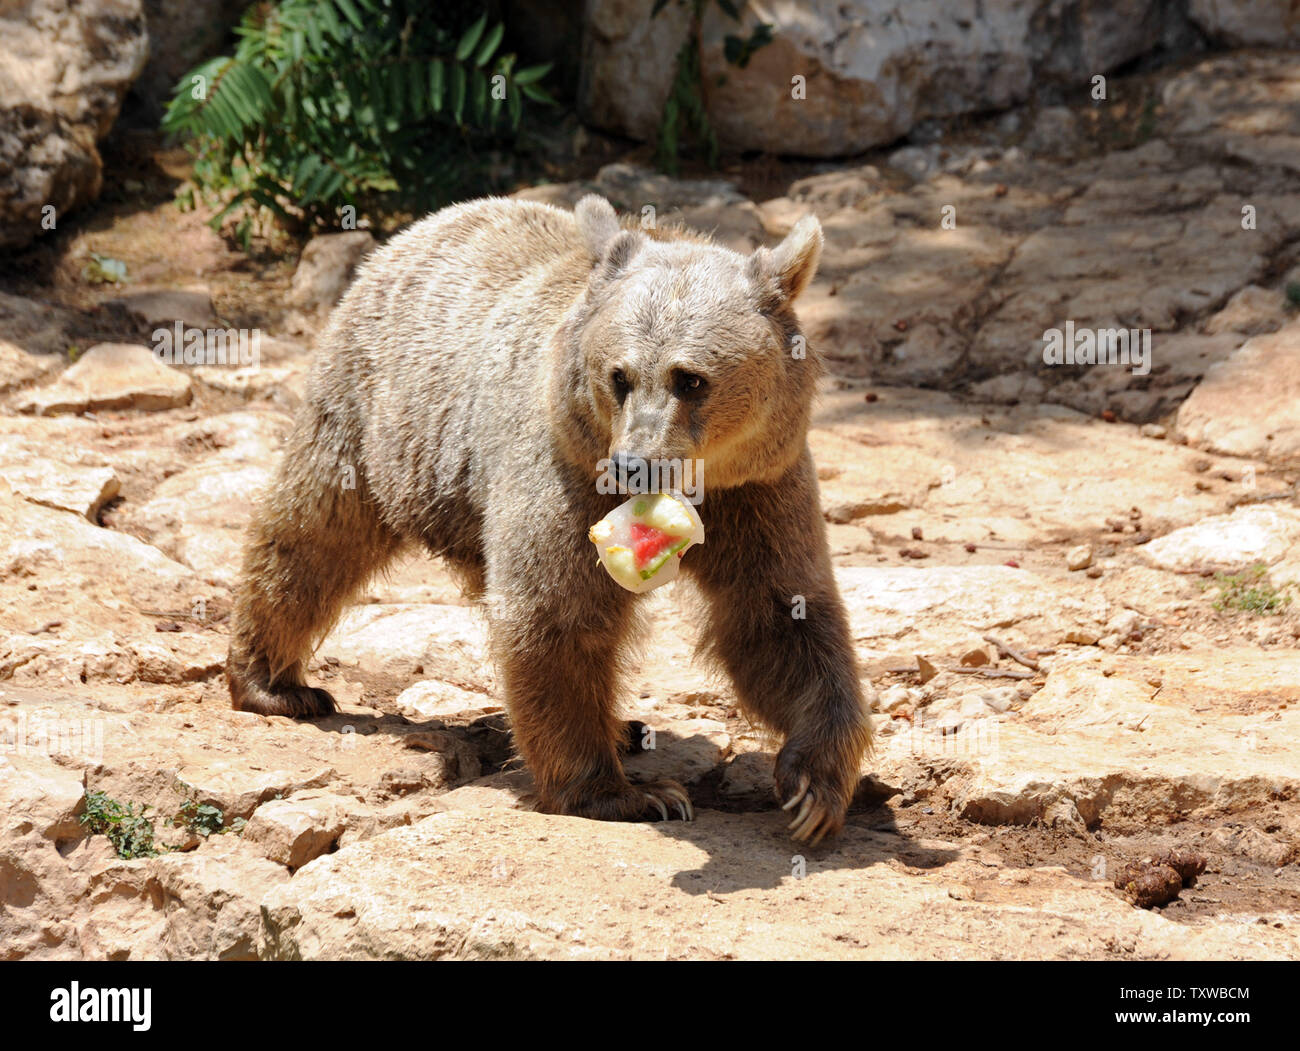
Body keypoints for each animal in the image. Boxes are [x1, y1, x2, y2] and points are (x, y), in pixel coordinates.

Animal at [227, 193, 872, 844]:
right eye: (619, 376)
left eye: (690, 378)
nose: (633, 466)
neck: (699, 485)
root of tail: (426, 225)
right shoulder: (565, 470)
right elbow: (555, 612)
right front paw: (628, 794)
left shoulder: (760, 489)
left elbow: (778, 614)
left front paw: (813, 788)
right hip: (373, 412)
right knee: (313, 533)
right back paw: (276, 684)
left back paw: (627, 729)